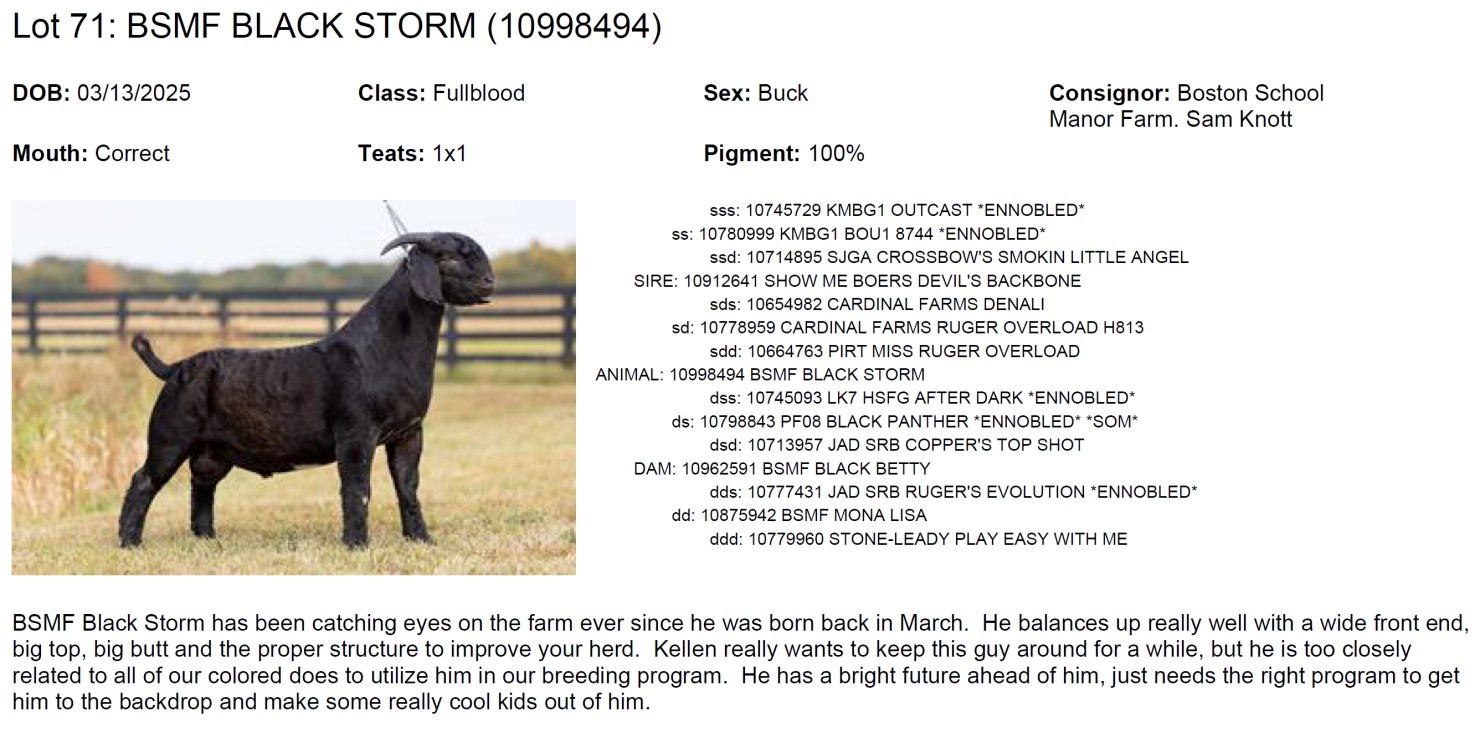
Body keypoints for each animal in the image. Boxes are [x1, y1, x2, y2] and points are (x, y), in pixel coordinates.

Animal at [118, 232, 495, 548]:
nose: (490, 281)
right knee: (143, 481)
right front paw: (356, 544)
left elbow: (408, 487)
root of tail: (176, 366)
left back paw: (207, 539)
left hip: (212, 451)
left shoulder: (409, 433)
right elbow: (357, 489)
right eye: (453, 257)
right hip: (171, 438)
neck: (383, 346)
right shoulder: (356, 435)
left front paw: (421, 539)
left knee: (202, 486)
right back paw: (130, 542)